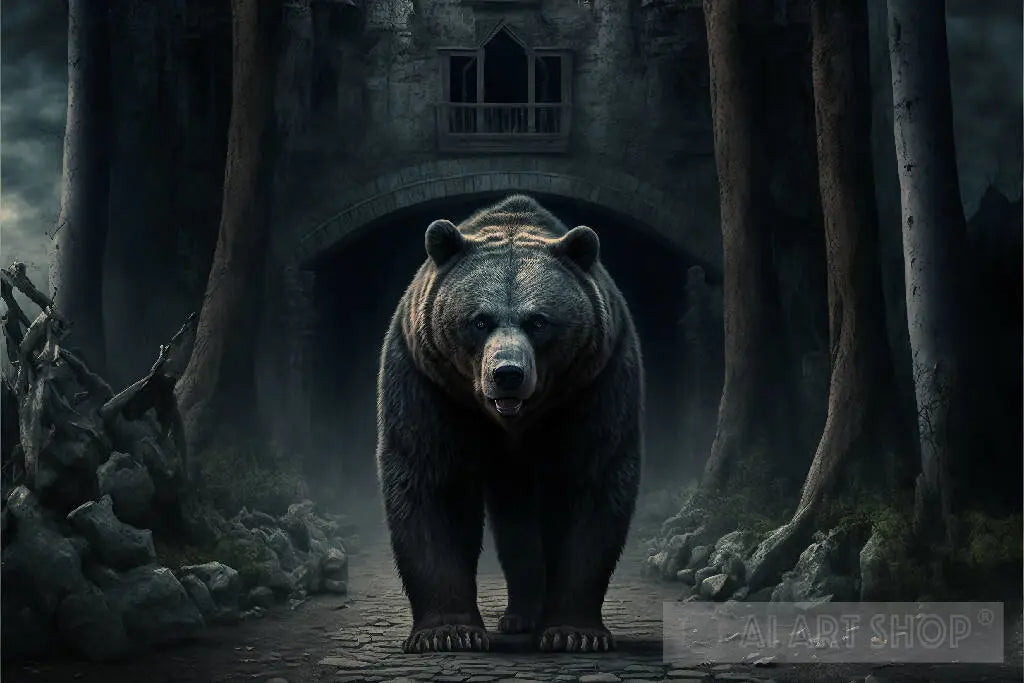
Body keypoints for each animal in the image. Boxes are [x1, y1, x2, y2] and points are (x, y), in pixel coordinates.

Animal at [376, 194, 644, 654]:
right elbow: (434, 483)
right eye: (479, 320)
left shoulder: (594, 384)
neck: (511, 421)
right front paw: (448, 632)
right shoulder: (430, 384)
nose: (507, 374)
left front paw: (574, 632)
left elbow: (590, 483)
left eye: (539, 321)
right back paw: (521, 616)